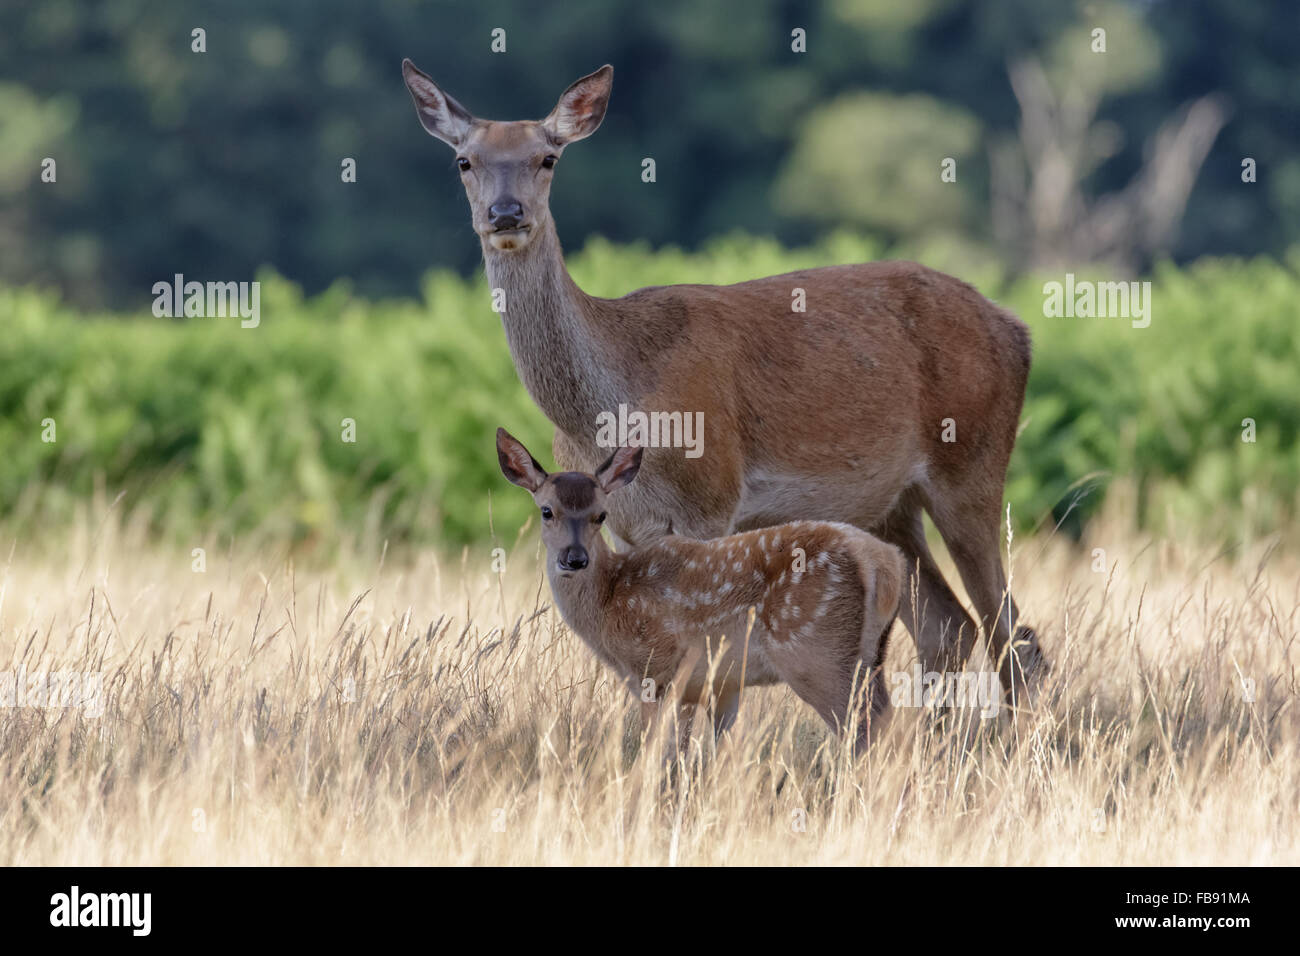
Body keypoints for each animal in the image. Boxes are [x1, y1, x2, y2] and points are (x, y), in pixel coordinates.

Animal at [402, 59, 1047, 713]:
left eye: (547, 157)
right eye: (465, 161)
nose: (506, 214)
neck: (604, 409)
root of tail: (1017, 328)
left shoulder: (710, 497)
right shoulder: (631, 519)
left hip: (971, 464)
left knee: (1011, 634)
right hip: (889, 507)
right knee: (951, 627)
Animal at [497, 428, 904, 754]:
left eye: (601, 515)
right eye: (547, 511)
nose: (574, 558)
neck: (610, 600)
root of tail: (883, 562)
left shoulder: (658, 666)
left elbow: (658, 753)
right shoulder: (717, 683)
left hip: (816, 650)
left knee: (866, 729)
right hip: (871, 653)